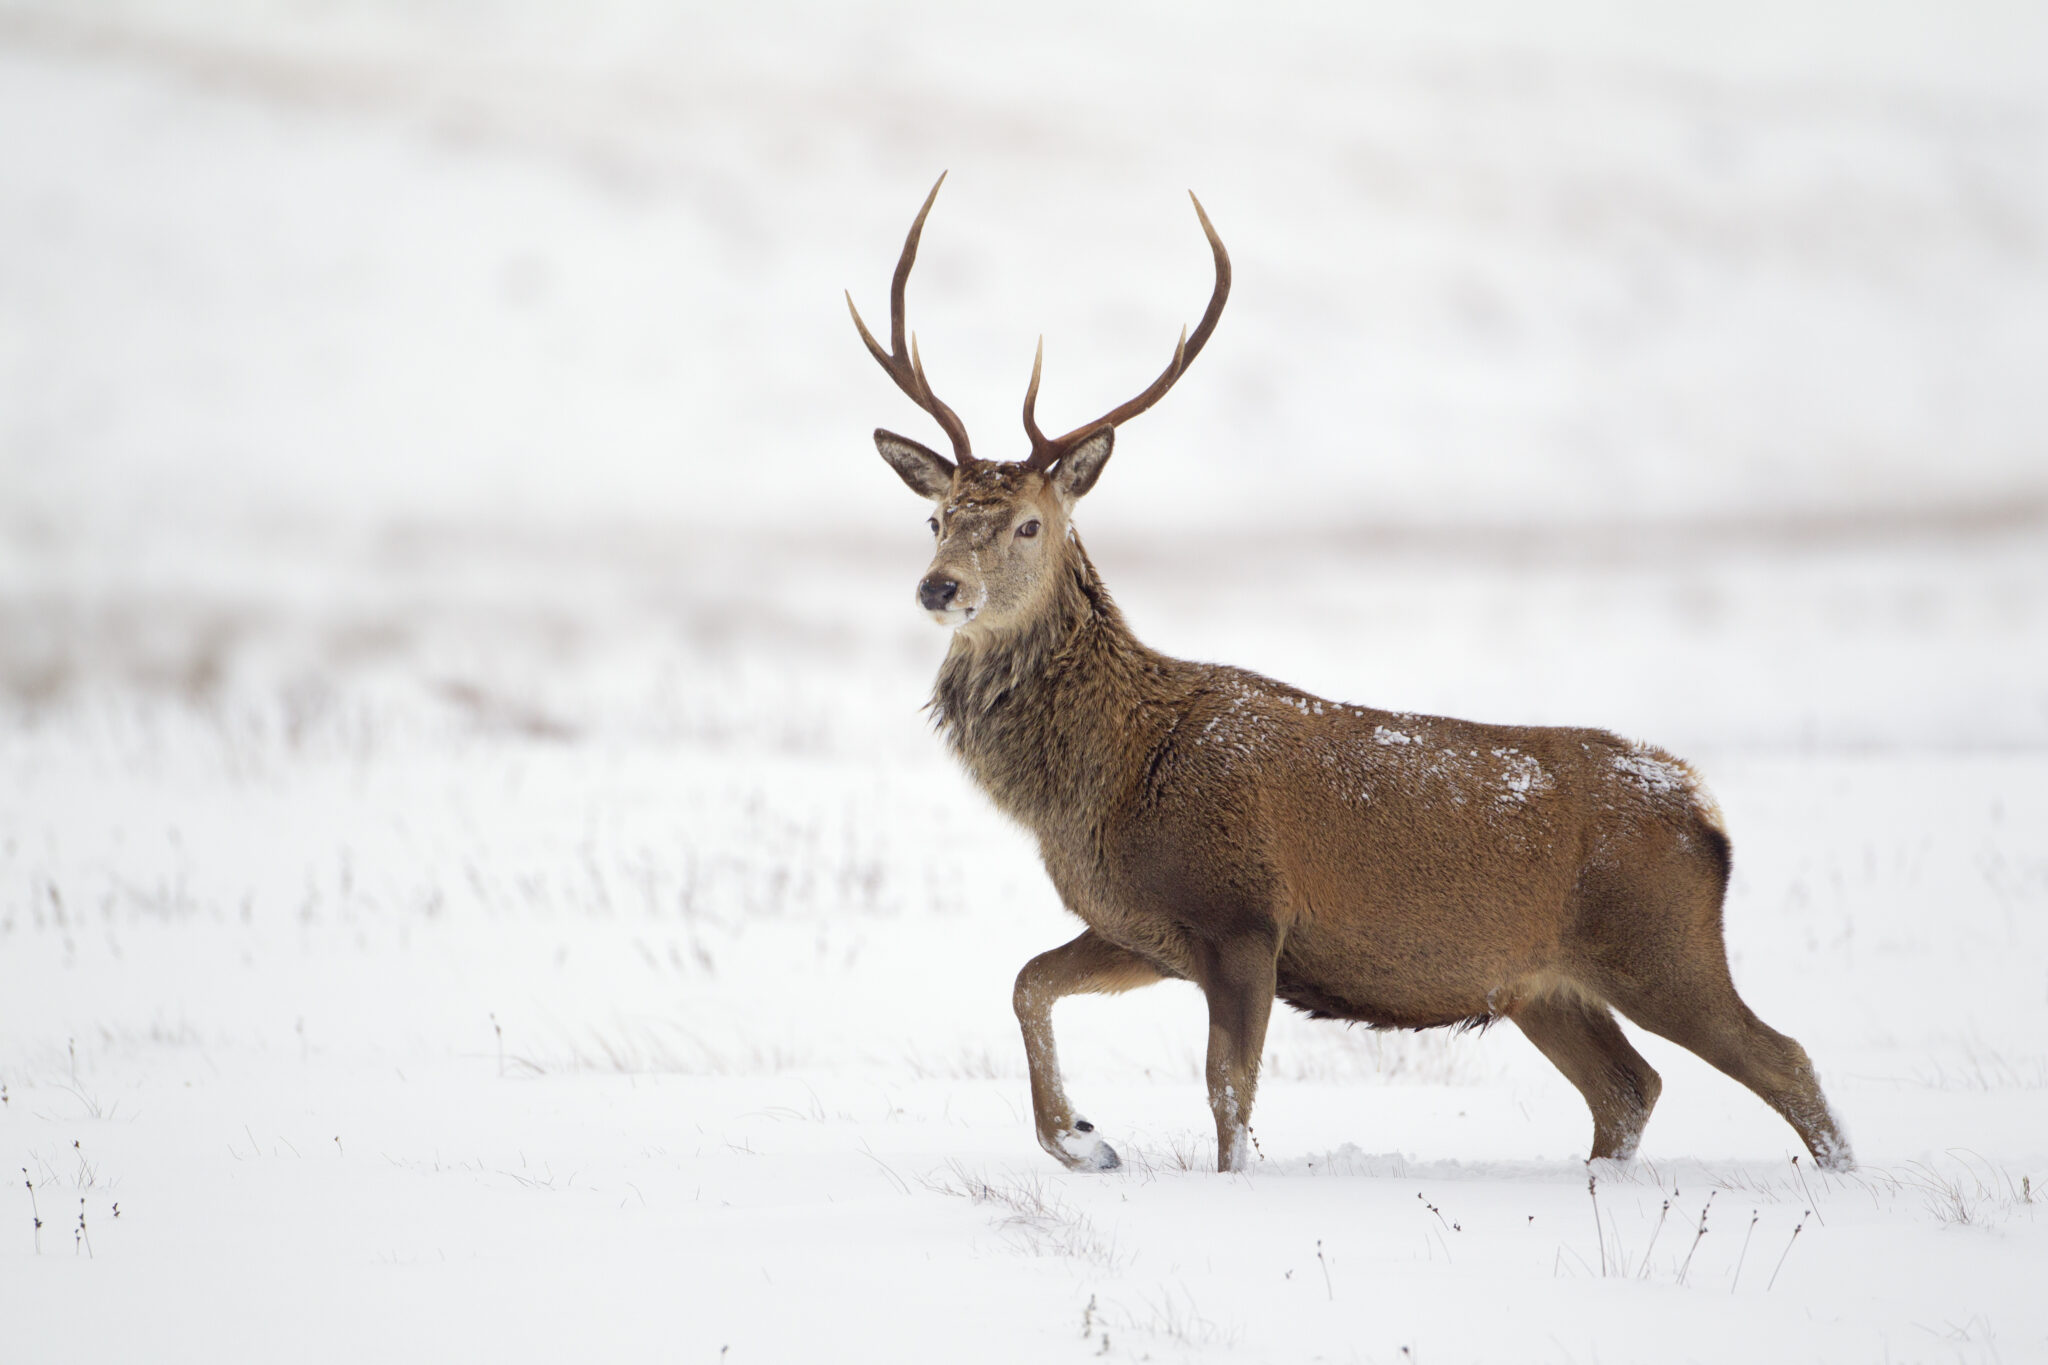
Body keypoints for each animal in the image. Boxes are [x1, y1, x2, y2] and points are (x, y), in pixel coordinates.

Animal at [847, 175, 1854, 1176]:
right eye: (938, 516)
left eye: (1028, 524)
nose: (940, 586)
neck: (1104, 779)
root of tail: (1704, 810)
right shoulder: (1145, 927)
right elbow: (1027, 981)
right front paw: (1084, 1141)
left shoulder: (1242, 912)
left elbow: (1228, 1094)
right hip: (1544, 985)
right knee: (1630, 1087)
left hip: (1662, 942)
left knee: (1786, 1059)